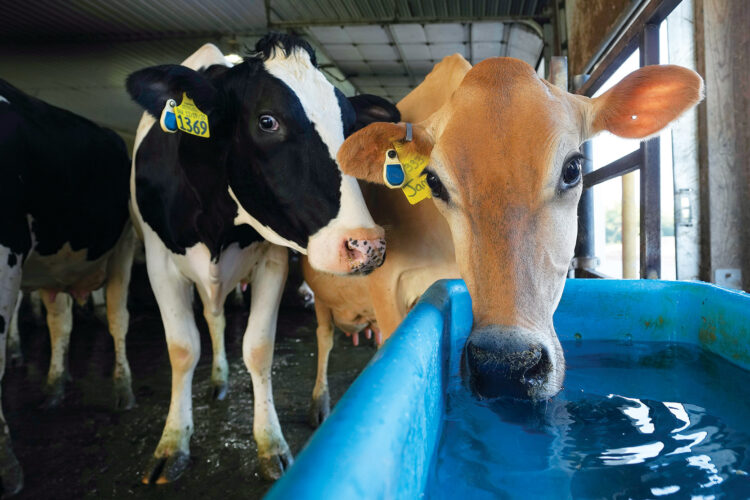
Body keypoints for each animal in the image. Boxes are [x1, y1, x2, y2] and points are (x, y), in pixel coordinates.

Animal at [0, 79, 137, 495]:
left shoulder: (7, 249)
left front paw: (7, 468)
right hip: (52, 268)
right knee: (60, 323)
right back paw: (54, 388)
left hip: (123, 246)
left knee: (117, 317)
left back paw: (122, 391)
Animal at [125, 33, 398, 483]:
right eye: (268, 121)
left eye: (349, 127)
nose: (367, 244)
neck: (217, 222)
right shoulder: (158, 263)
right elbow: (183, 349)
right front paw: (172, 442)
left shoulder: (272, 260)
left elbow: (257, 347)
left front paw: (271, 444)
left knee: (217, 315)